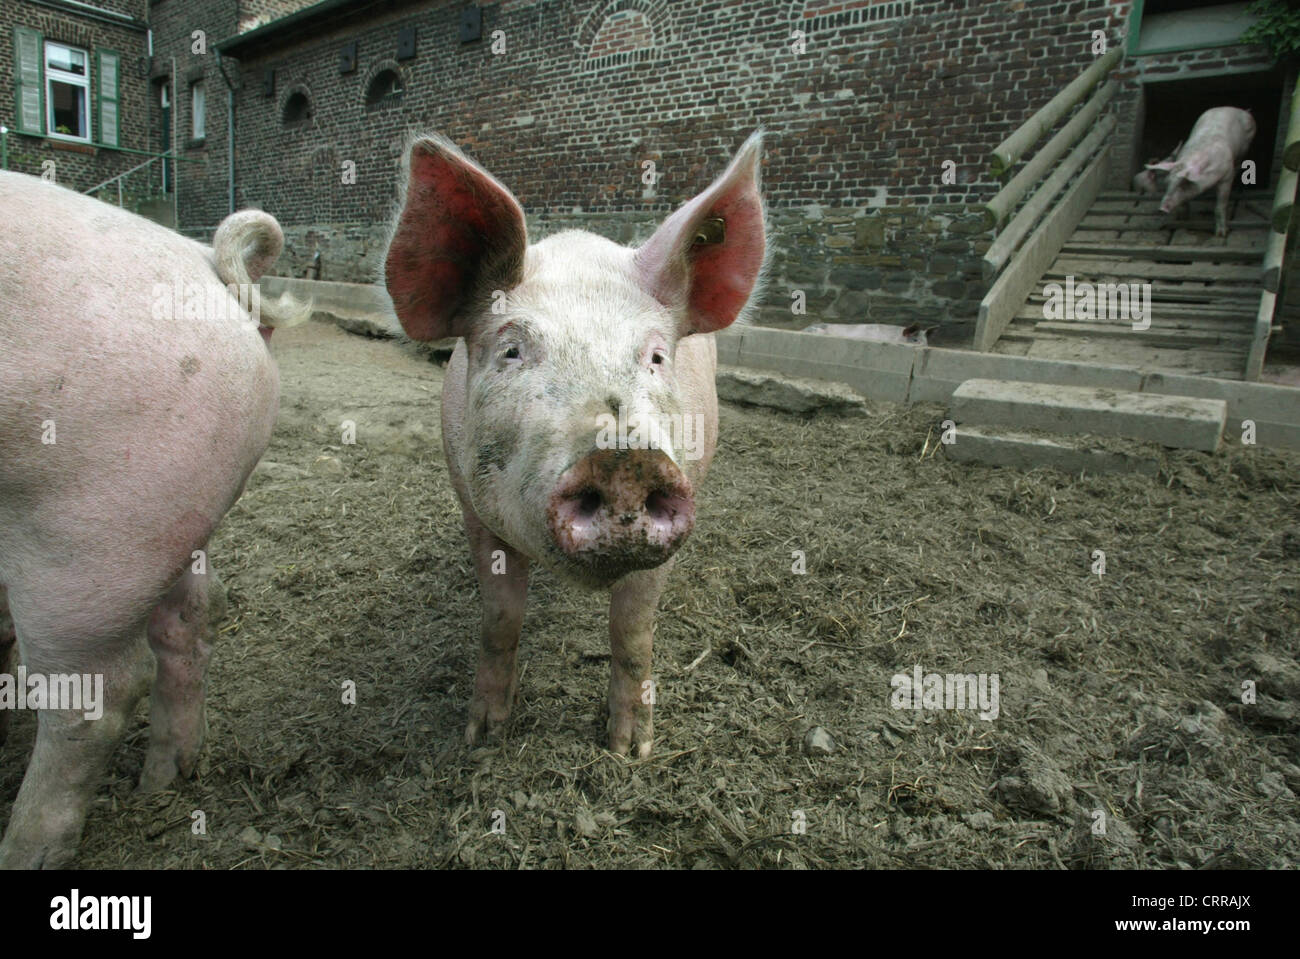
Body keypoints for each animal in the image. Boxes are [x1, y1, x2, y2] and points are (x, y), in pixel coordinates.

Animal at [0, 171, 306, 868]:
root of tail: (204, 265)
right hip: (165, 516)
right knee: (194, 617)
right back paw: (162, 781)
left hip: (84, 529)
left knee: (98, 696)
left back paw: (25, 850)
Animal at [384, 133, 766, 758]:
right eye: (512, 351)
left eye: (655, 356)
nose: (624, 461)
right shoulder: (472, 506)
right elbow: (499, 620)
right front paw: (483, 736)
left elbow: (632, 631)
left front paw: (630, 751)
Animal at [1145, 108, 1255, 236]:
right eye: (1167, 182)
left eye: (1184, 183)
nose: (1161, 209)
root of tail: (1242, 110)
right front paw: (1183, 219)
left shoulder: (1226, 176)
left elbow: (1220, 205)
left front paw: (1221, 234)